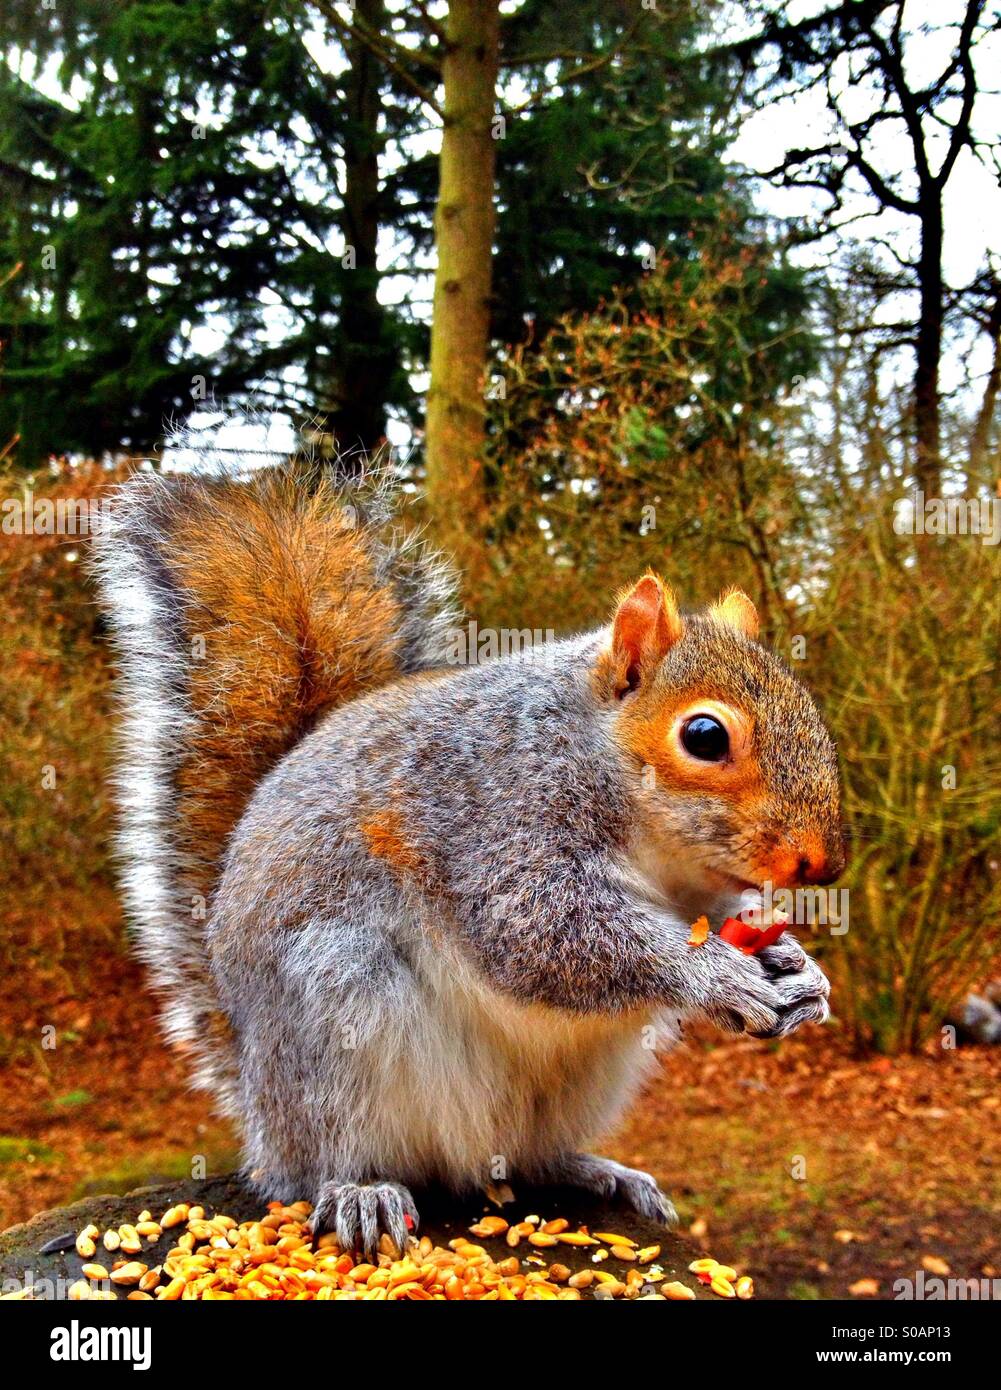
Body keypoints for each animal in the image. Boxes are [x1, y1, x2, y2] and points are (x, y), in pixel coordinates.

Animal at [93, 460, 845, 1255]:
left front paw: (799, 969)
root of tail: (260, 1108)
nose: (820, 865)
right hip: (332, 1015)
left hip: (581, 1079)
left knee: (533, 1154)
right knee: (325, 1157)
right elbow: (541, 932)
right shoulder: (494, 818)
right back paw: (358, 1192)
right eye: (704, 736)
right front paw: (715, 975)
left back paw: (596, 1171)